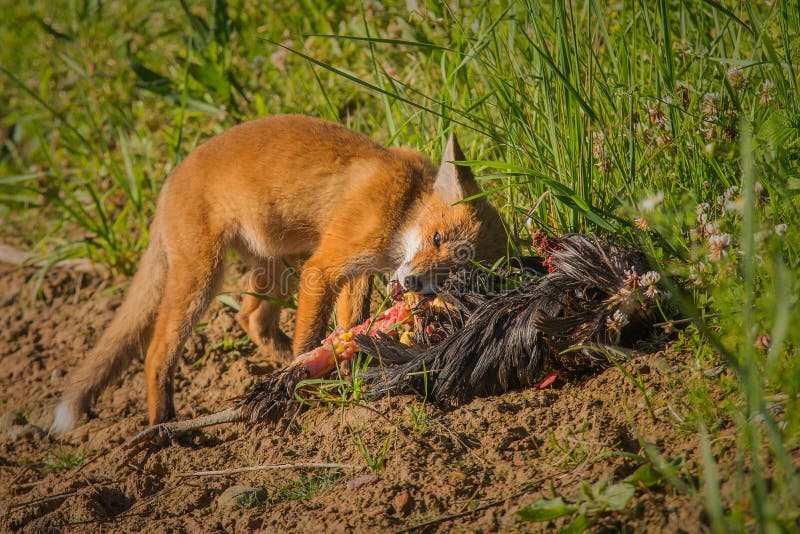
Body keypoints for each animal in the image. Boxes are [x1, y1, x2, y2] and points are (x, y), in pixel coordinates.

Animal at [50, 114, 507, 434]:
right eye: (436, 237)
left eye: (455, 276)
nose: (412, 284)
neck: (406, 201)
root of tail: (167, 184)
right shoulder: (326, 265)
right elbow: (315, 337)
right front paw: (302, 386)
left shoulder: (358, 271)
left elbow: (350, 325)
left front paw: (347, 372)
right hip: (206, 277)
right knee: (156, 351)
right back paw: (165, 424)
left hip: (278, 266)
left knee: (249, 317)